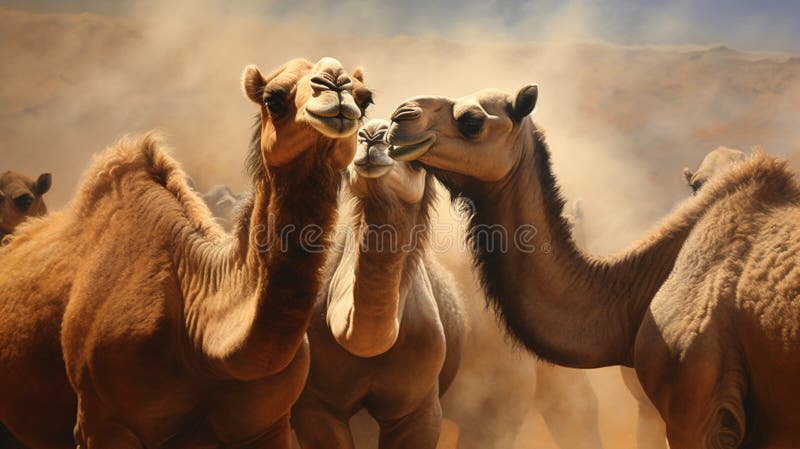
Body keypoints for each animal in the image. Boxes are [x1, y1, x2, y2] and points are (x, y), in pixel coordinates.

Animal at [0, 57, 372, 449]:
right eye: (273, 98)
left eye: (365, 100)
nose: (334, 85)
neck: (203, 342)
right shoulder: (100, 425)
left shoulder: (269, 424)